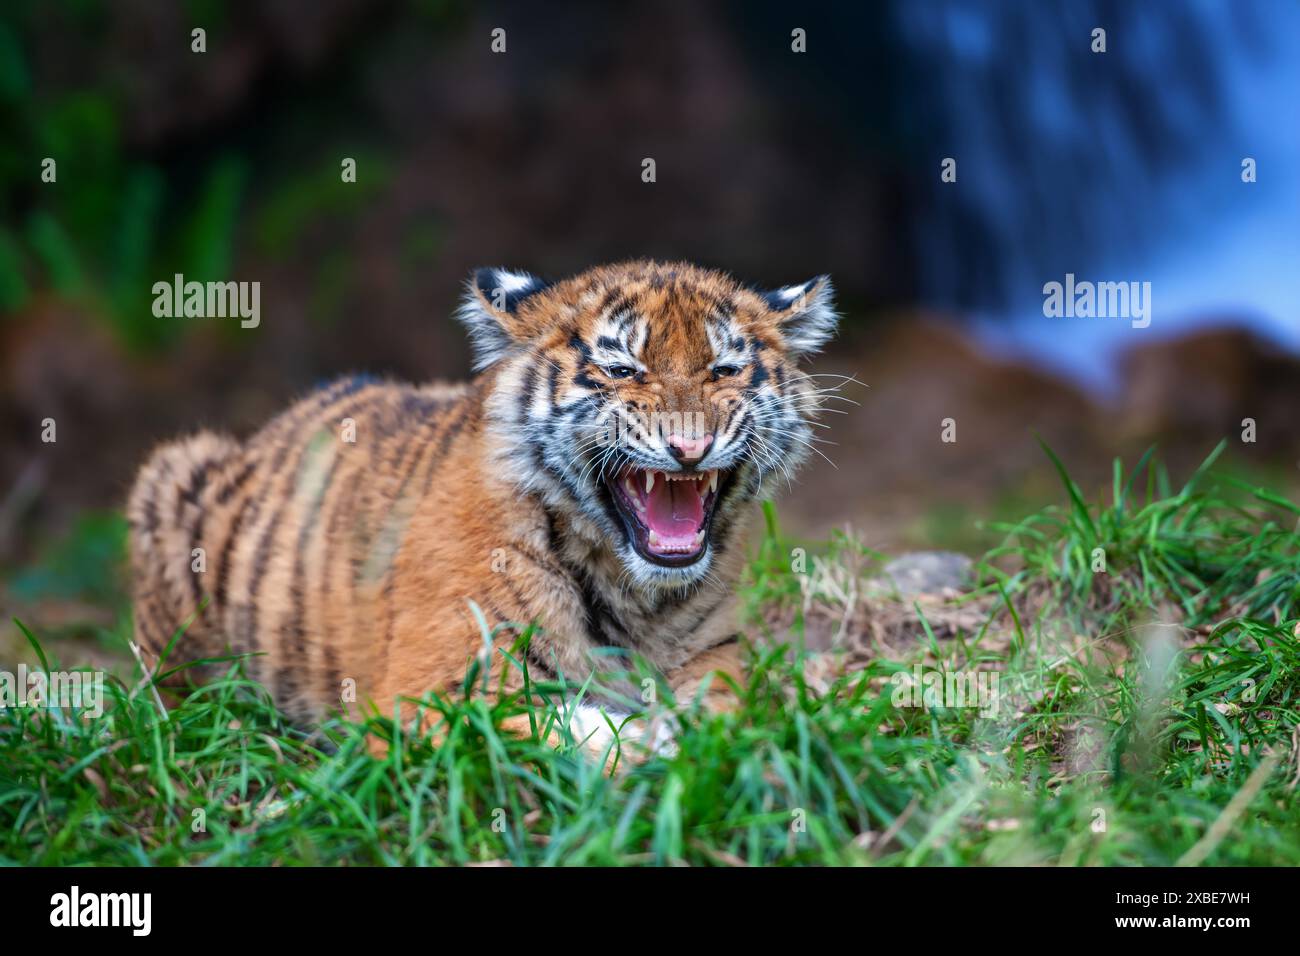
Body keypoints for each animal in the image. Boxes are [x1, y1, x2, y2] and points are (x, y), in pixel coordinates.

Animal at [127, 260, 841, 754]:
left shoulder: (719, 654)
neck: (635, 592)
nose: (690, 446)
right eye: (621, 369)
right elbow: (547, 732)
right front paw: (641, 744)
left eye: (724, 369)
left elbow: (724, 705)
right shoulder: (426, 690)